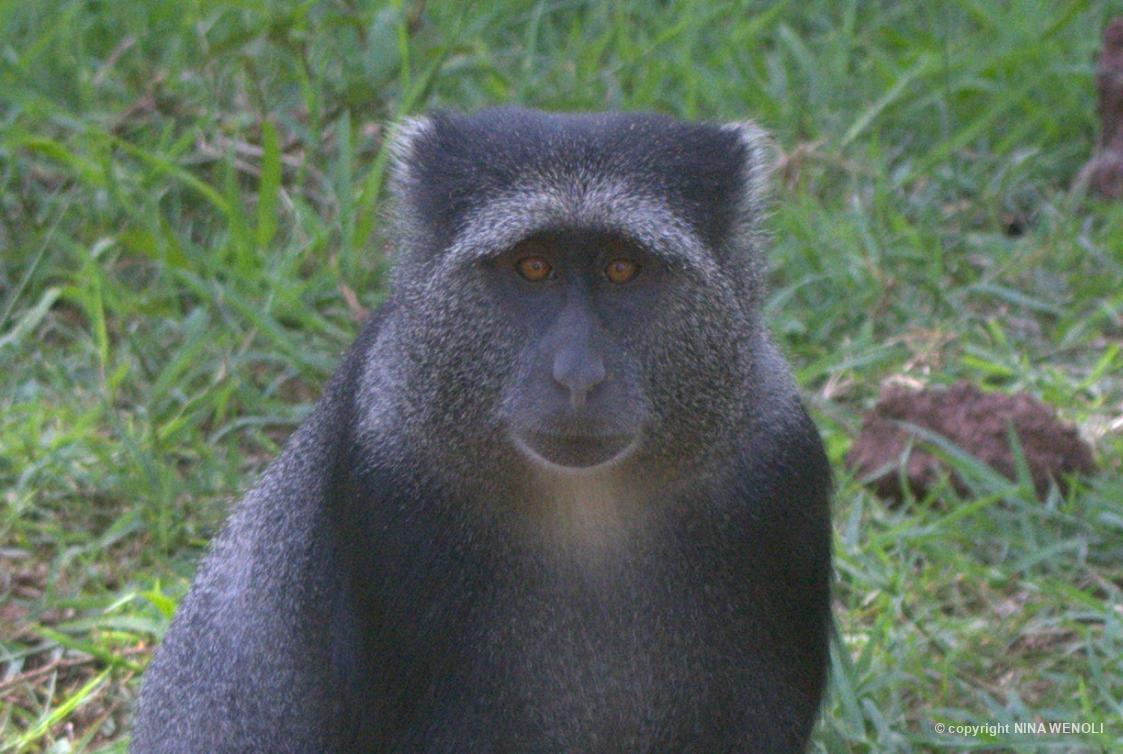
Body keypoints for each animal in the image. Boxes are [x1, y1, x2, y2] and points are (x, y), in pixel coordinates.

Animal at [130, 107, 833, 753]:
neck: (587, 504)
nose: (578, 375)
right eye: (533, 267)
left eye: (622, 269)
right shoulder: (388, 478)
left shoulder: (776, 466)